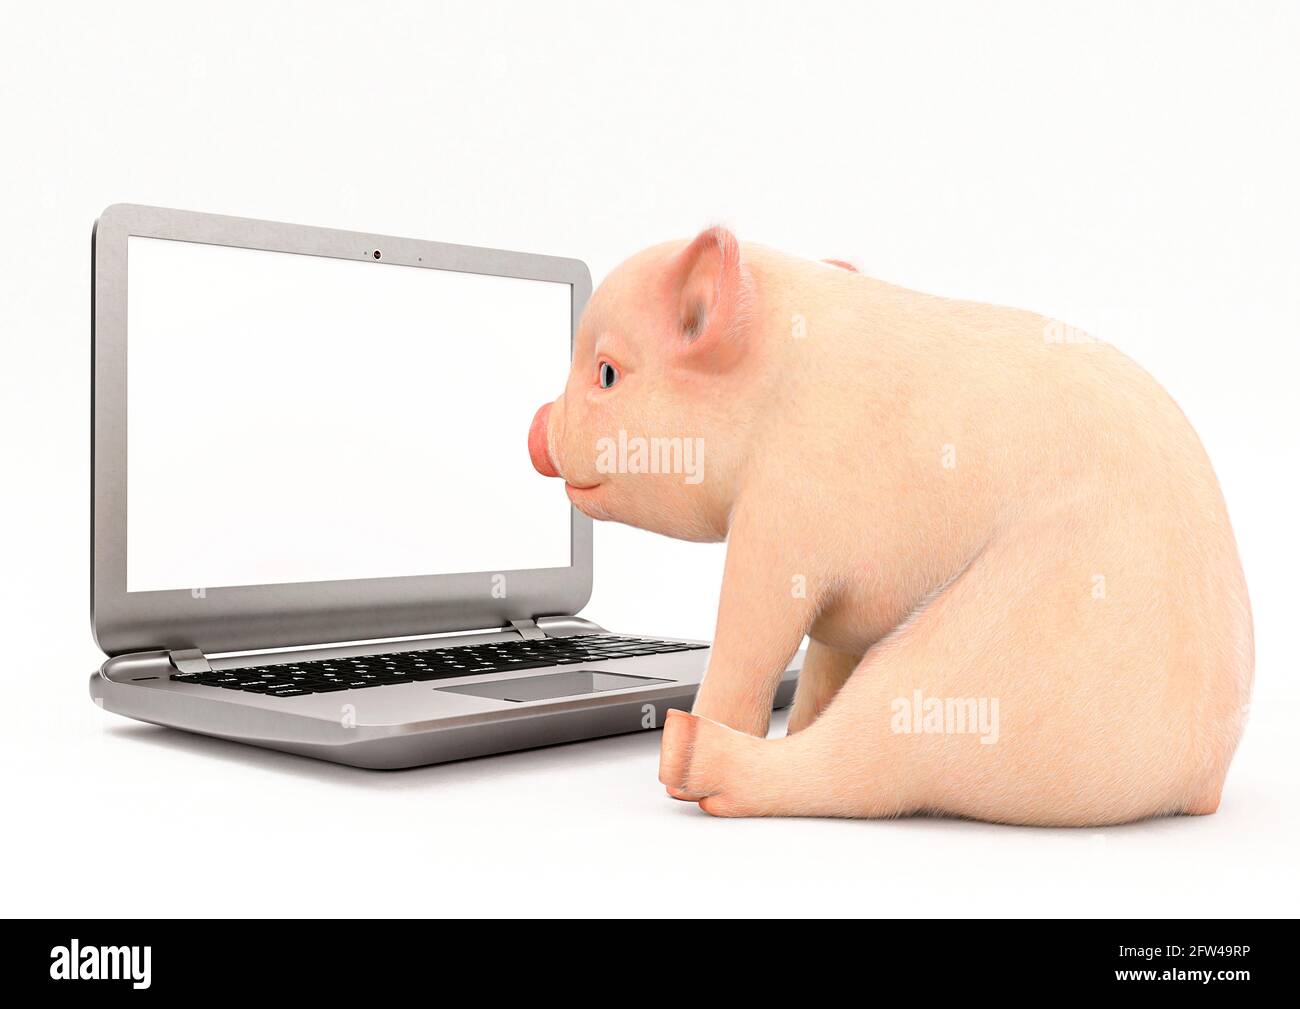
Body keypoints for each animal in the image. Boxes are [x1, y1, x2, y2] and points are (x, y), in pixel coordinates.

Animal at [527, 227, 1253, 826]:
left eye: (608, 373)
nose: (535, 429)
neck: (768, 394)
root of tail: (1197, 777)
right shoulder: (840, 607)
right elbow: (820, 661)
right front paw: (796, 715)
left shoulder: (785, 517)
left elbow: (753, 631)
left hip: (1002, 647)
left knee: (862, 760)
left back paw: (683, 751)